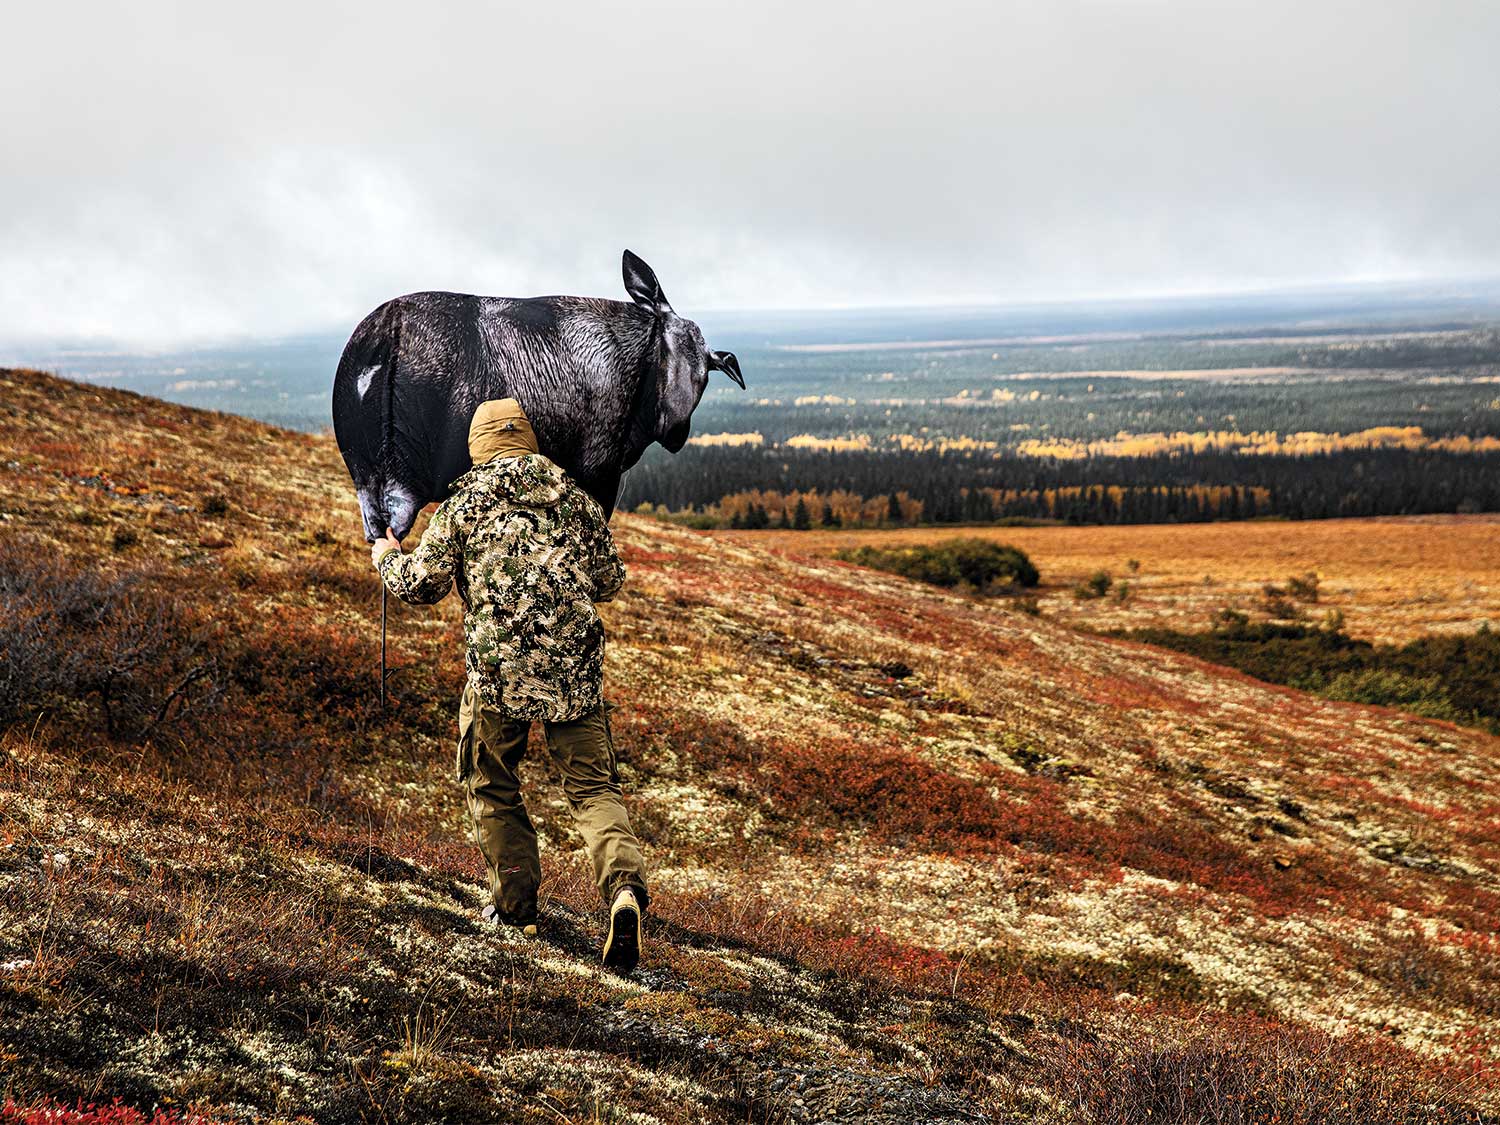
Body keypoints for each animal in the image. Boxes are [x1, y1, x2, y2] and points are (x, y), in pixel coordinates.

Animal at [331, 250, 744, 543]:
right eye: (674, 349)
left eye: (708, 371)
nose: (676, 432)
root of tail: (385, 337)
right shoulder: (599, 469)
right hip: (402, 481)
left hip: (367, 478)